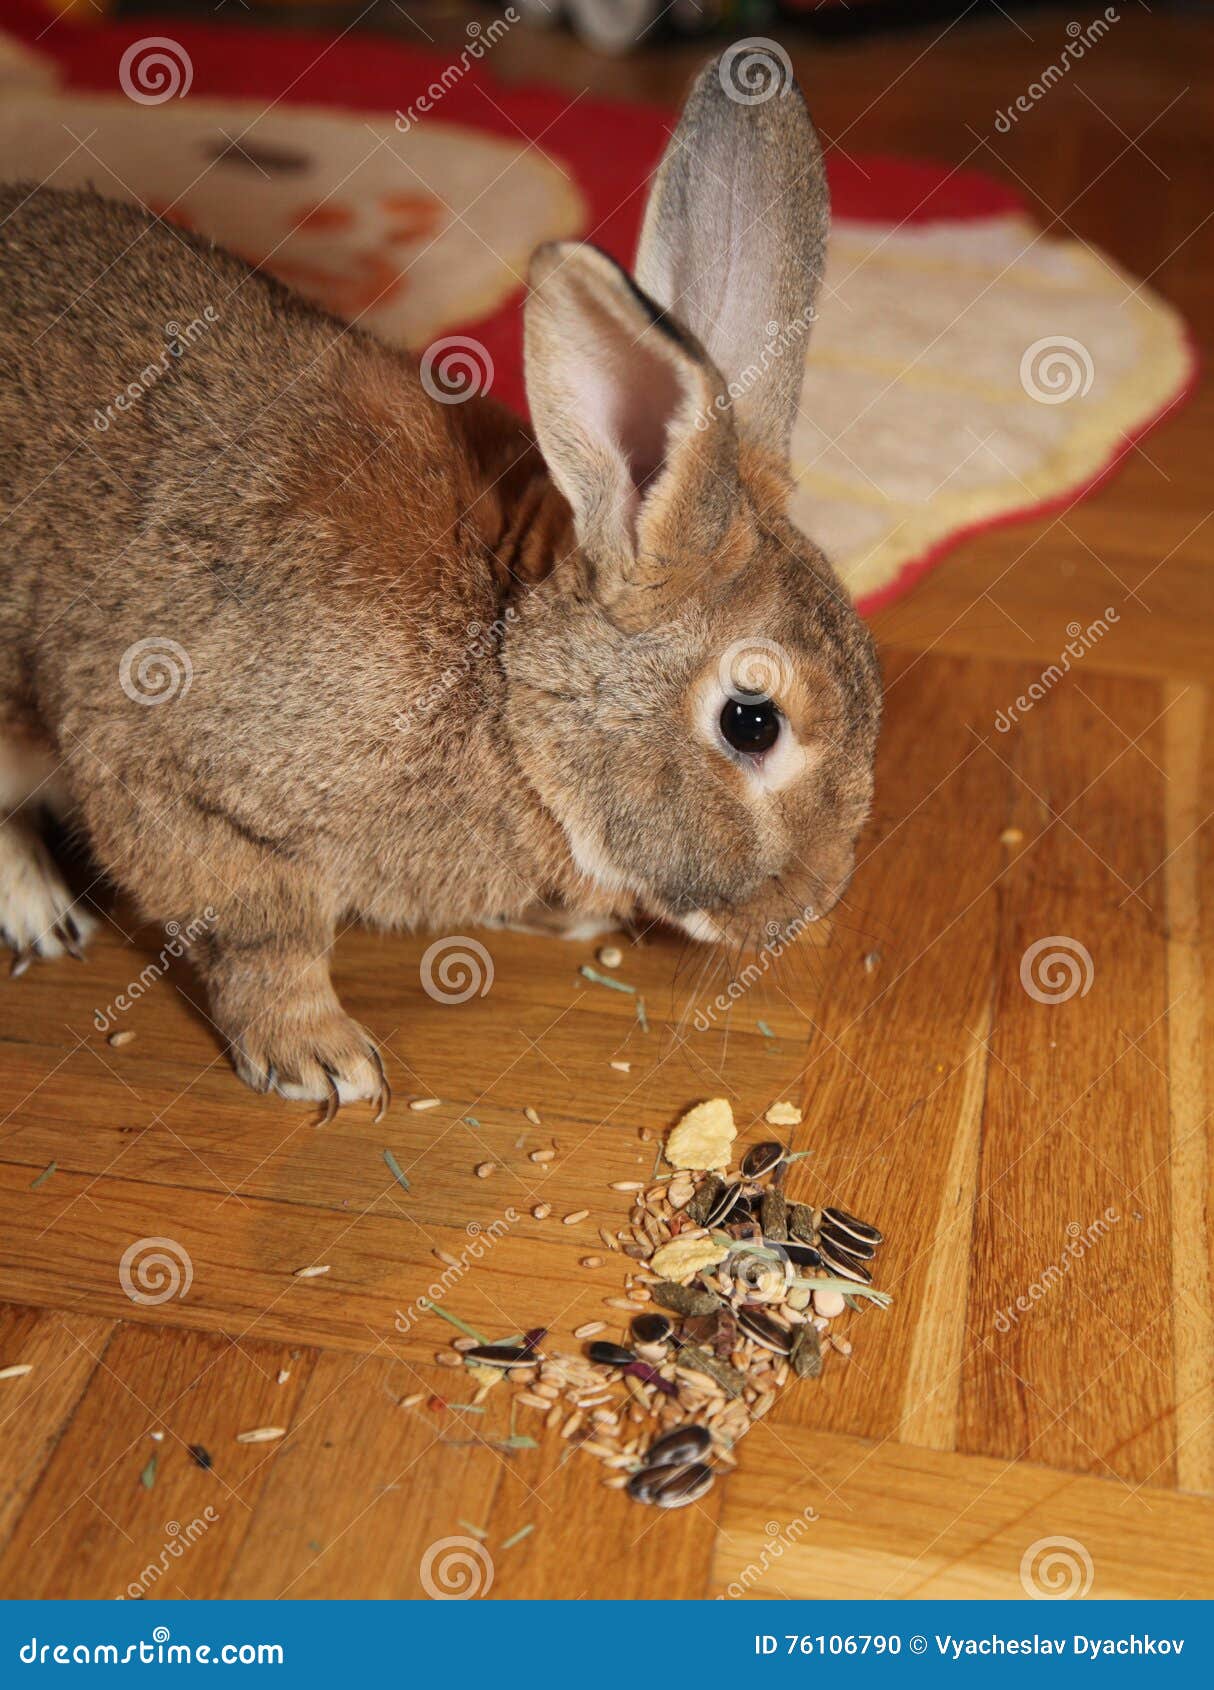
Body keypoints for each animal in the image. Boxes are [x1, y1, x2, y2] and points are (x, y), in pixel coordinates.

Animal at [0, 54, 881, 1113]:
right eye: (752, 723)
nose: (807, 910)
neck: (502, 675)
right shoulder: (161, 765)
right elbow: (267, 930)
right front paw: (318, 1058)